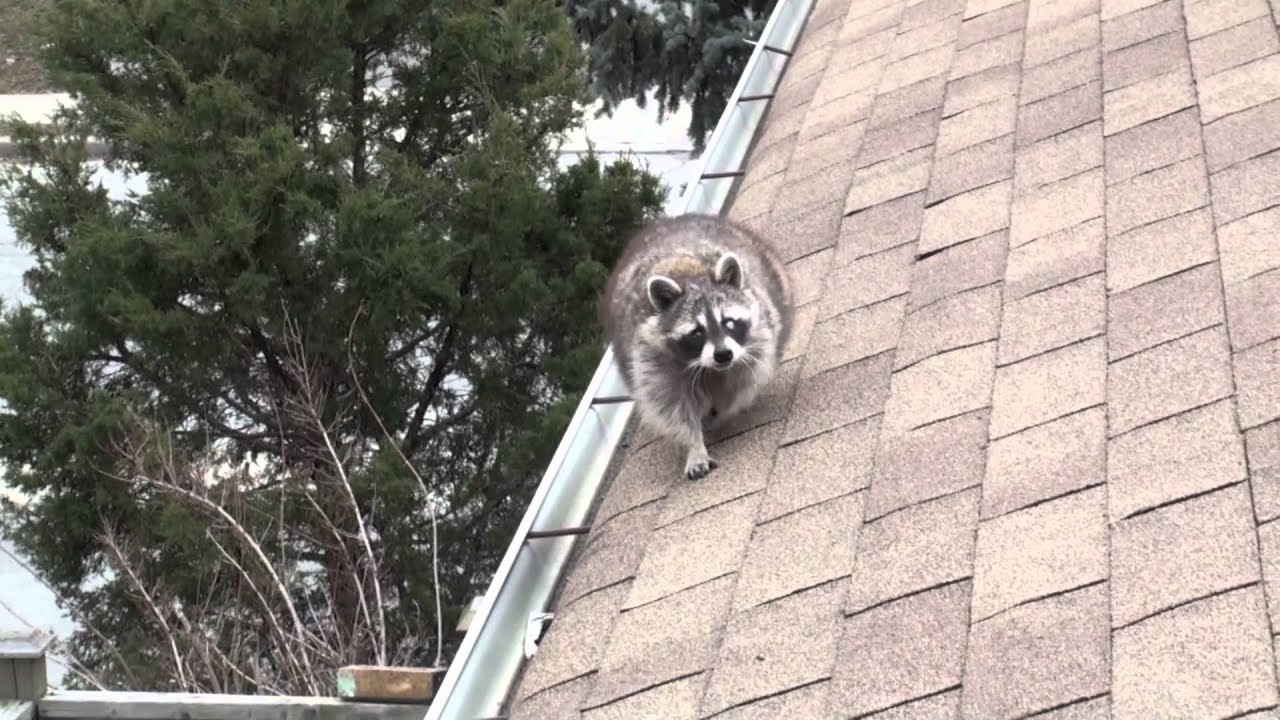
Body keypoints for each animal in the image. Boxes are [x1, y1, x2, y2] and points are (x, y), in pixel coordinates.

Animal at [602, 213, 794, 480]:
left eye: (729, 322)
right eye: (696, 333)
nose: (723, 355)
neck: (689, 275)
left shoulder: (755, 337)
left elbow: (742, 381)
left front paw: (723, 411)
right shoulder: (650, 355)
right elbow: (672, 406)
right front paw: (694, 444)